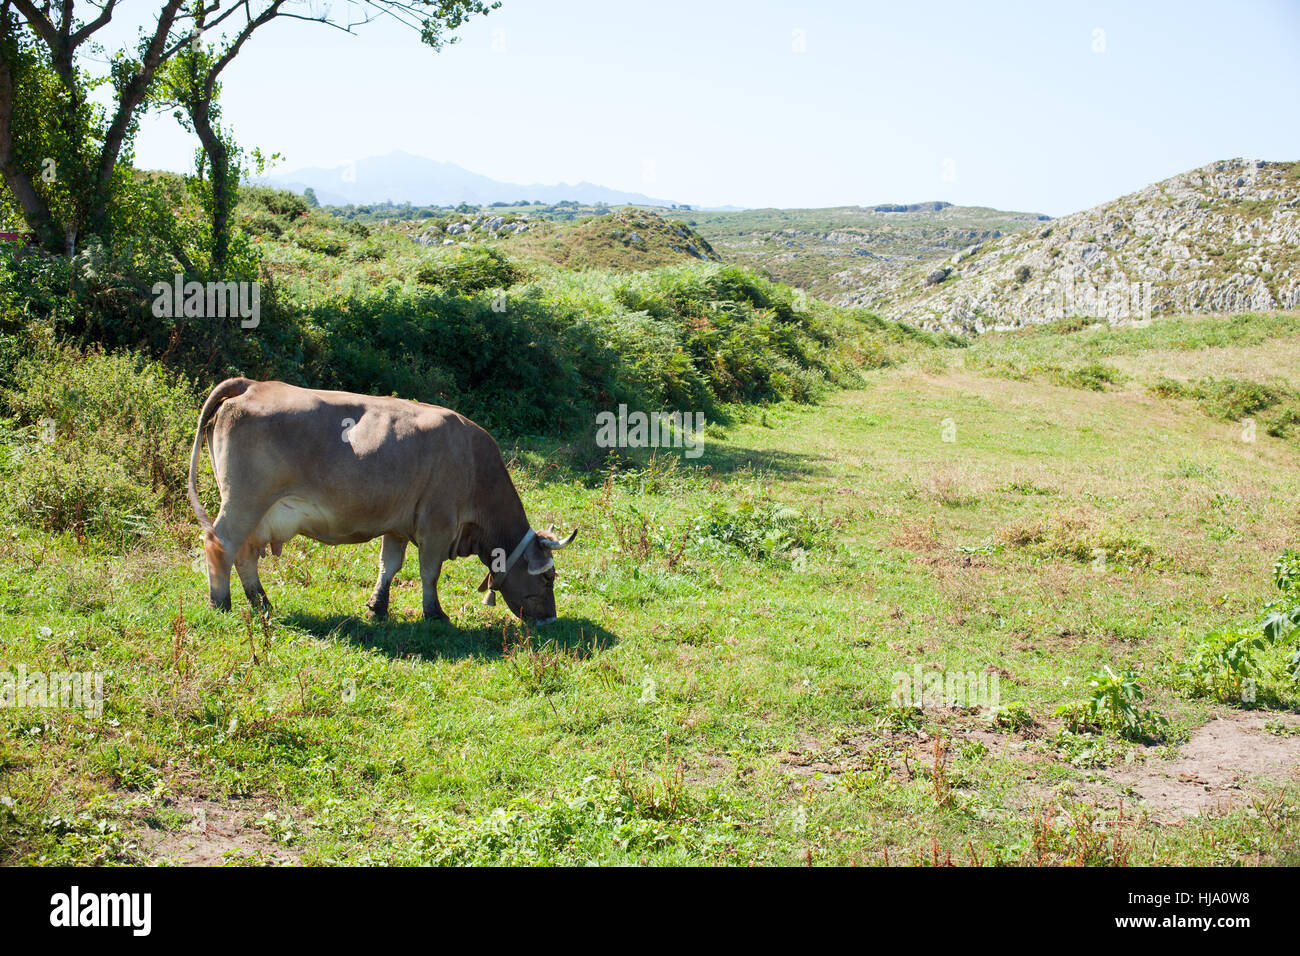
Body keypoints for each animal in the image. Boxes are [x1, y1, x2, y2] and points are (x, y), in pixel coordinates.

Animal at [186, 378, 577, 623]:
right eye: (548, 578)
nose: (551, 619)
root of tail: (252, 383)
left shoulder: (399, 525)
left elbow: (389, 566)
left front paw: (377, 607)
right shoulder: (437, 525)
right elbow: (429, 572)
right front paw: (435, 614)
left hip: (257, 512)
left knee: (245, 554)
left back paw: (262, 602)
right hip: (244, 502)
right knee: (221, 544)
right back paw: (220, 603)